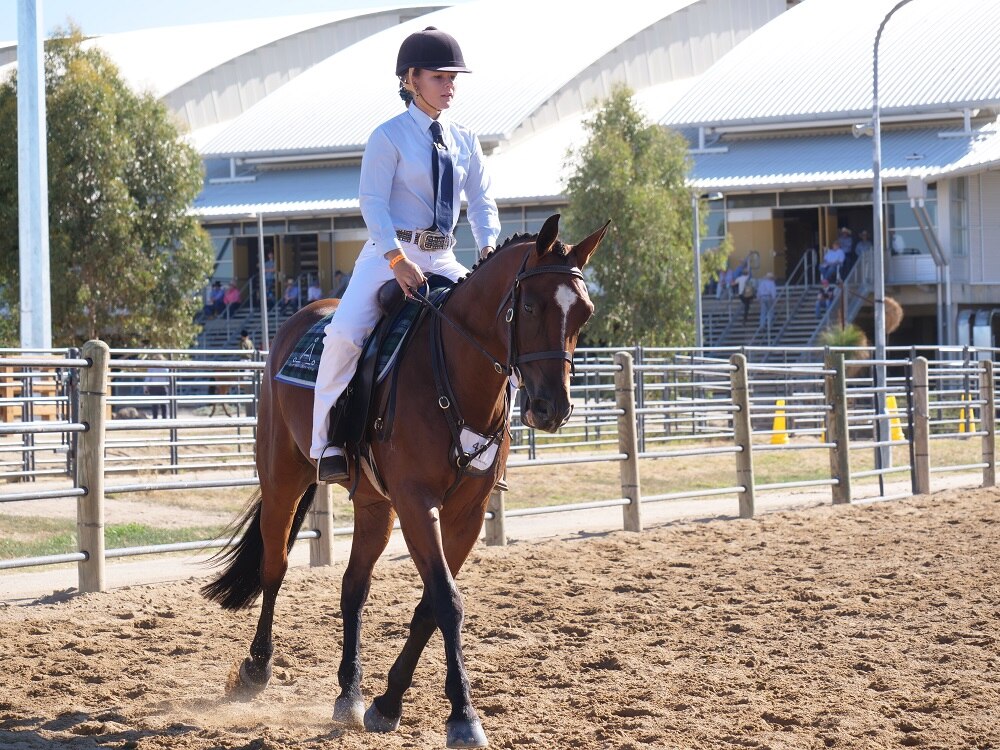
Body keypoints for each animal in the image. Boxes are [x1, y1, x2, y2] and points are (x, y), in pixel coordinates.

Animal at [201, 214, 609, 748]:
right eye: (530, 305)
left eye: (583, 313)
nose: (552, 408)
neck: (454, 372)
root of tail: (298, 320)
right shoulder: (418, 504)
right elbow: (447, 601)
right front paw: (463, 716)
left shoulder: (465, 516)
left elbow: (431, 606)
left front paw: (388, 702)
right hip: (282, 479)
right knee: (275, 567)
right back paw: (257, 668)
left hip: (375, 505)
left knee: (353, 586)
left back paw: (349, 693)